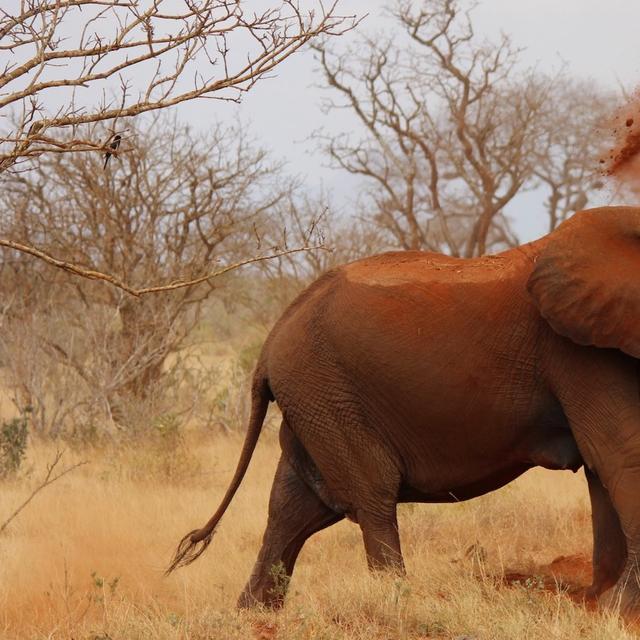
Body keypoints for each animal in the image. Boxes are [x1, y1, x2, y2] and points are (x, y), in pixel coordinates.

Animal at [169, 206, 640, 616]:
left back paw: (253, 614)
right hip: (326, 392)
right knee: (371, 497)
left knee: (295, 504)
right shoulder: (576, 351)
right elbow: (620, 454)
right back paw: (397, 604)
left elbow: (605, 464)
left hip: (314, 399)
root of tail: (268, 345)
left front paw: (601, 603)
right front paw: (620, 609)